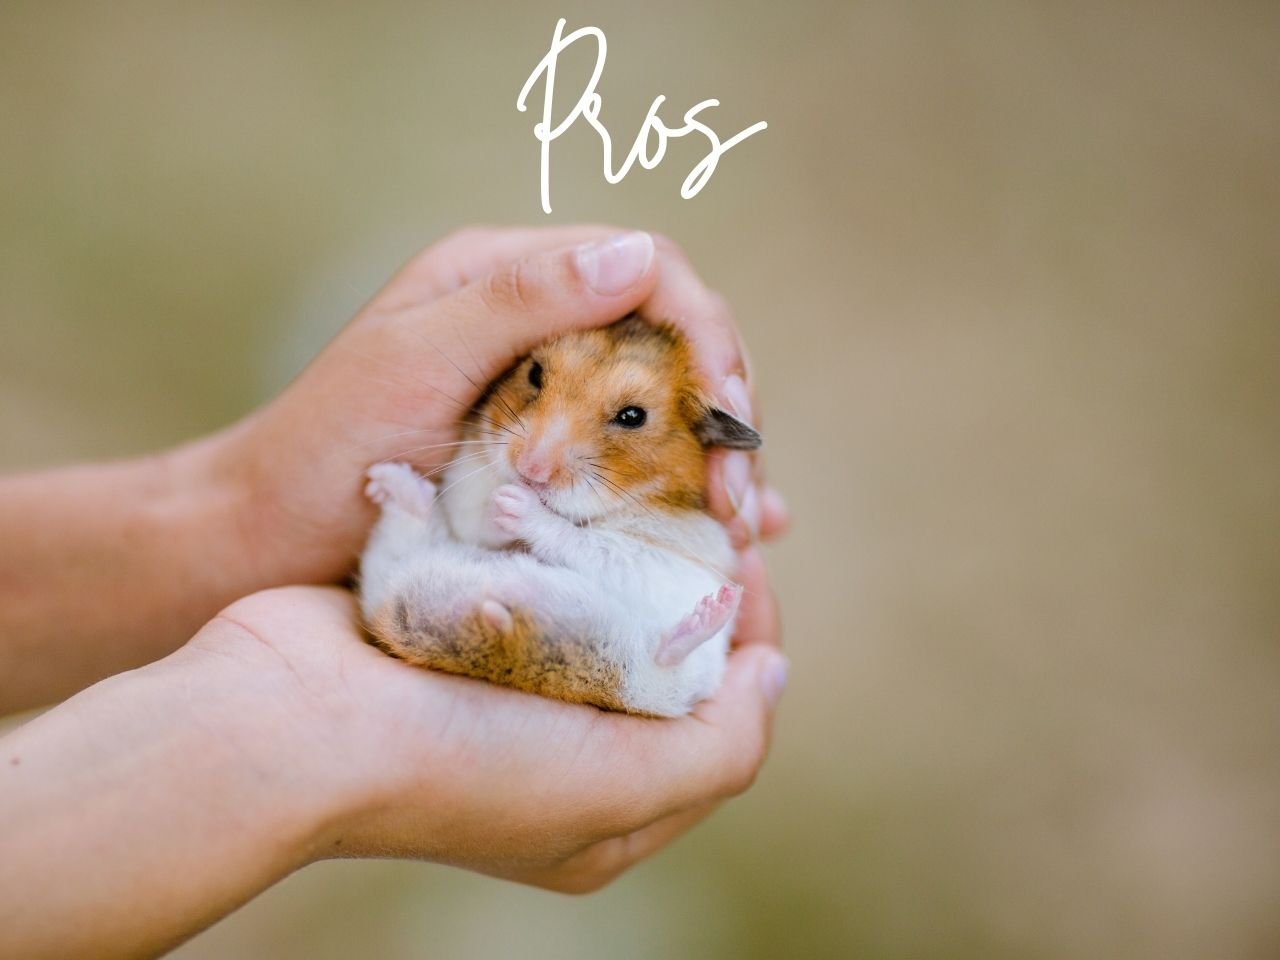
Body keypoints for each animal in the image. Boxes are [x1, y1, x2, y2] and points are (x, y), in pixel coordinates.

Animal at [358, 314, 762, 717]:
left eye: (633, 416)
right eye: (534, 373)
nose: (529, 470)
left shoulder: (661, 558)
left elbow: (588, 542)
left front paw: (514, 503)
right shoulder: (464, 487)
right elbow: (476, 520)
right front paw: (502, 501)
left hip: (668, 679)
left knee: (666, 659)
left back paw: (715, 608)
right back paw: (389, 482)